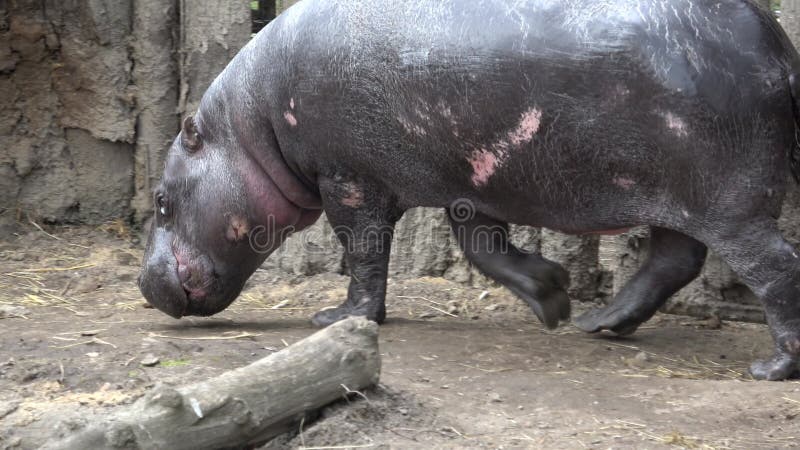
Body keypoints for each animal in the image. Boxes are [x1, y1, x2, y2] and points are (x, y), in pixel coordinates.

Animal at [139, 0, 800, 380]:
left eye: (161, 201)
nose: (145, 286)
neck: (251, 128)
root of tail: (780, 45)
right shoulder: (470, 184)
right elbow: (485, 249)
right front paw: (553, 296)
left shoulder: (348, 178)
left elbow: (364, 252)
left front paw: (338, 319)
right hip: (684, 195)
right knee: (674, 258)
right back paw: (599, 324)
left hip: (729, 200)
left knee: (774, 269)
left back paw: (770, 369)